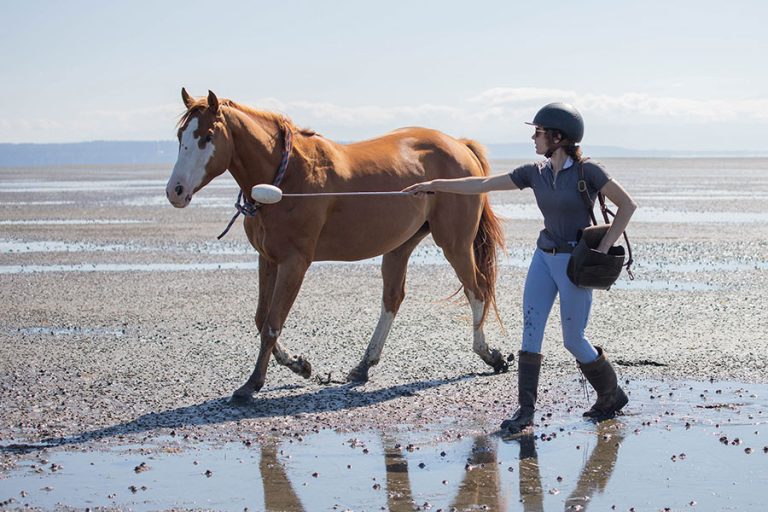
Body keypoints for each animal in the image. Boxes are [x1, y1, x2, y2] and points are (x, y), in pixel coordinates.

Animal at [166, 89, 510, 403]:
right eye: (181, 135)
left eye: (207, 136)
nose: (175, 191)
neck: (285, 178)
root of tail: (459, 145)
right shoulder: (269, 259)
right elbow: (262, 319)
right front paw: (299, 365)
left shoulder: (294, 263)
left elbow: (273, 323)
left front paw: (252, 384)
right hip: (400, 245)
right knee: (393, 299)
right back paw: (364, 365)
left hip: (455, 244)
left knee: (477, 290)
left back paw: (488, 354)